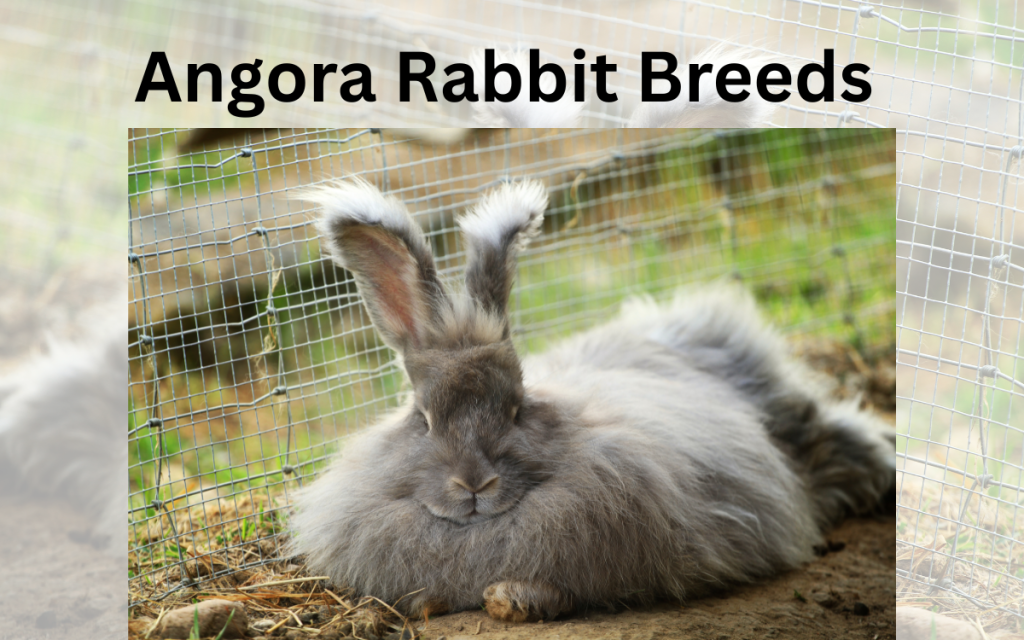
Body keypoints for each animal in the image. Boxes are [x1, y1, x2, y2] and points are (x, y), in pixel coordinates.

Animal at [288, 178, 896, 623]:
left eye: (517, 409)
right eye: (424, 418)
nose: (474, 485)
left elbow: (562, 590)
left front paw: (510, 600)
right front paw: (429, 602)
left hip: (799, 424)